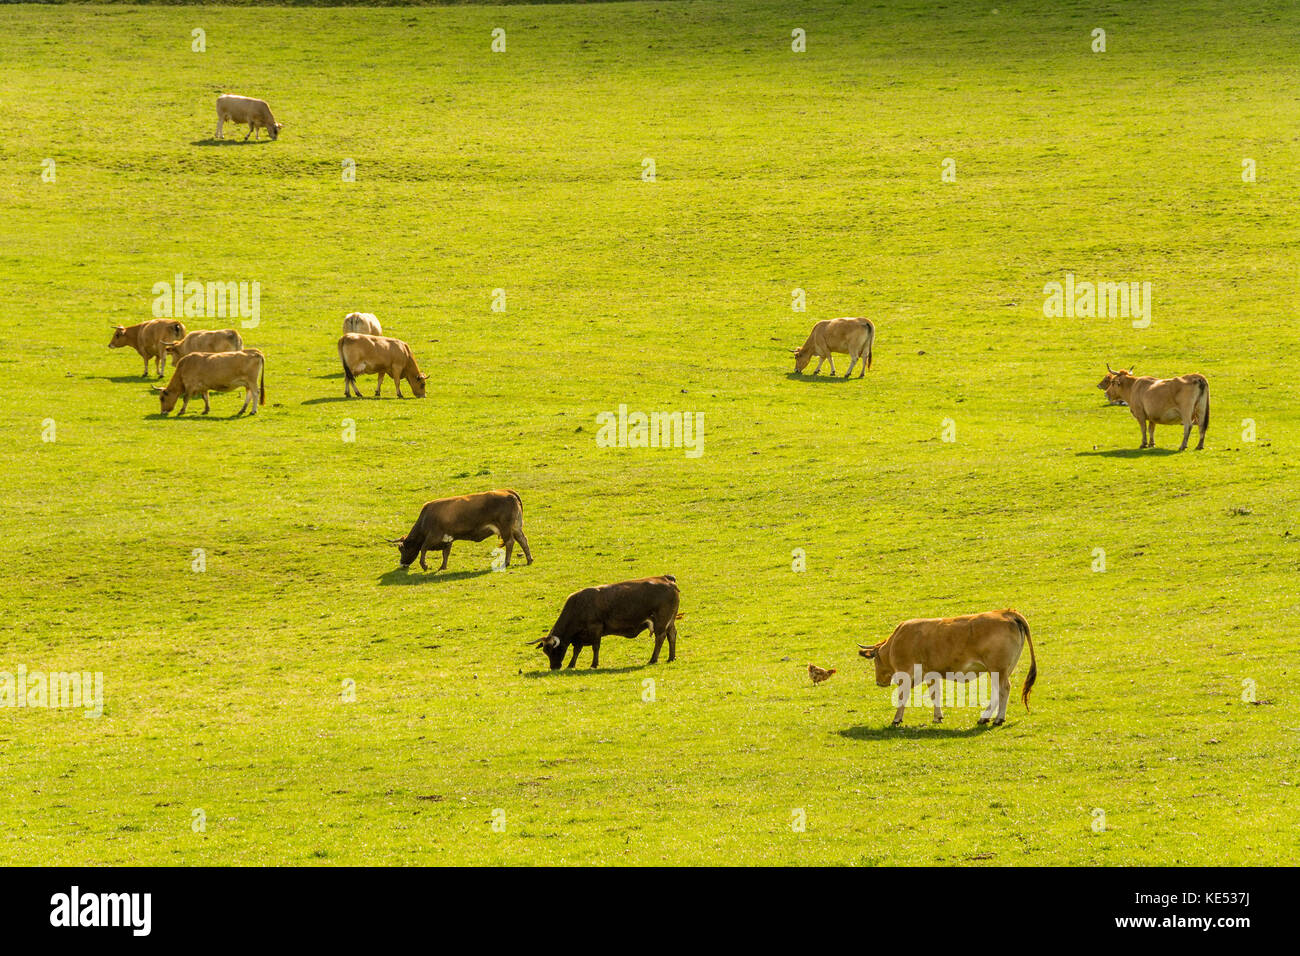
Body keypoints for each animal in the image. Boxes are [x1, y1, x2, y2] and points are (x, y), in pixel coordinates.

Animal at [392, 490, 532, 572]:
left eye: (402, 548)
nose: (402, 564)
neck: (426, 518)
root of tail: (507, 492)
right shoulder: (448, 539)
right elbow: (445, 553)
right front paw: (443, 567)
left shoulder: (433, 536)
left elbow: (423, 548)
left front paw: (424, 565)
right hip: (516, 527)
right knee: (523, 540)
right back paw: (529, 560)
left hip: (506, 528)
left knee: (510, 542)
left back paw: (506, 562)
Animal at [528, 575, 681, 670]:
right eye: (545, 651)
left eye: (555, 650)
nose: (554, 667)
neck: (579, 605)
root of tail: (666, 578)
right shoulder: (580, 636)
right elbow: (576, 650)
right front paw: (571, 665)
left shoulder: (596, 628)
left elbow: (595, 647)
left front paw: (594, 664)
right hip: (670, 621)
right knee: (671, 635)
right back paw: (671, 657)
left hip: (661, 621)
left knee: (660, 638)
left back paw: (653, 659)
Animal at [858, 609, 1036, 727]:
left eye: (876, 660)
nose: (879, 682)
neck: (896, 640)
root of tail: (1006, 612)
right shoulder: (931, 674)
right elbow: (934, 695)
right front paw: (938, 717)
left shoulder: (906, 673)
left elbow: (902, 696)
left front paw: (896, 719)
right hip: (1002, 670)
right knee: (997, 692)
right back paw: (986, 717)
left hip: (997, 669)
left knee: (1004, 689)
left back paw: (998, 718)